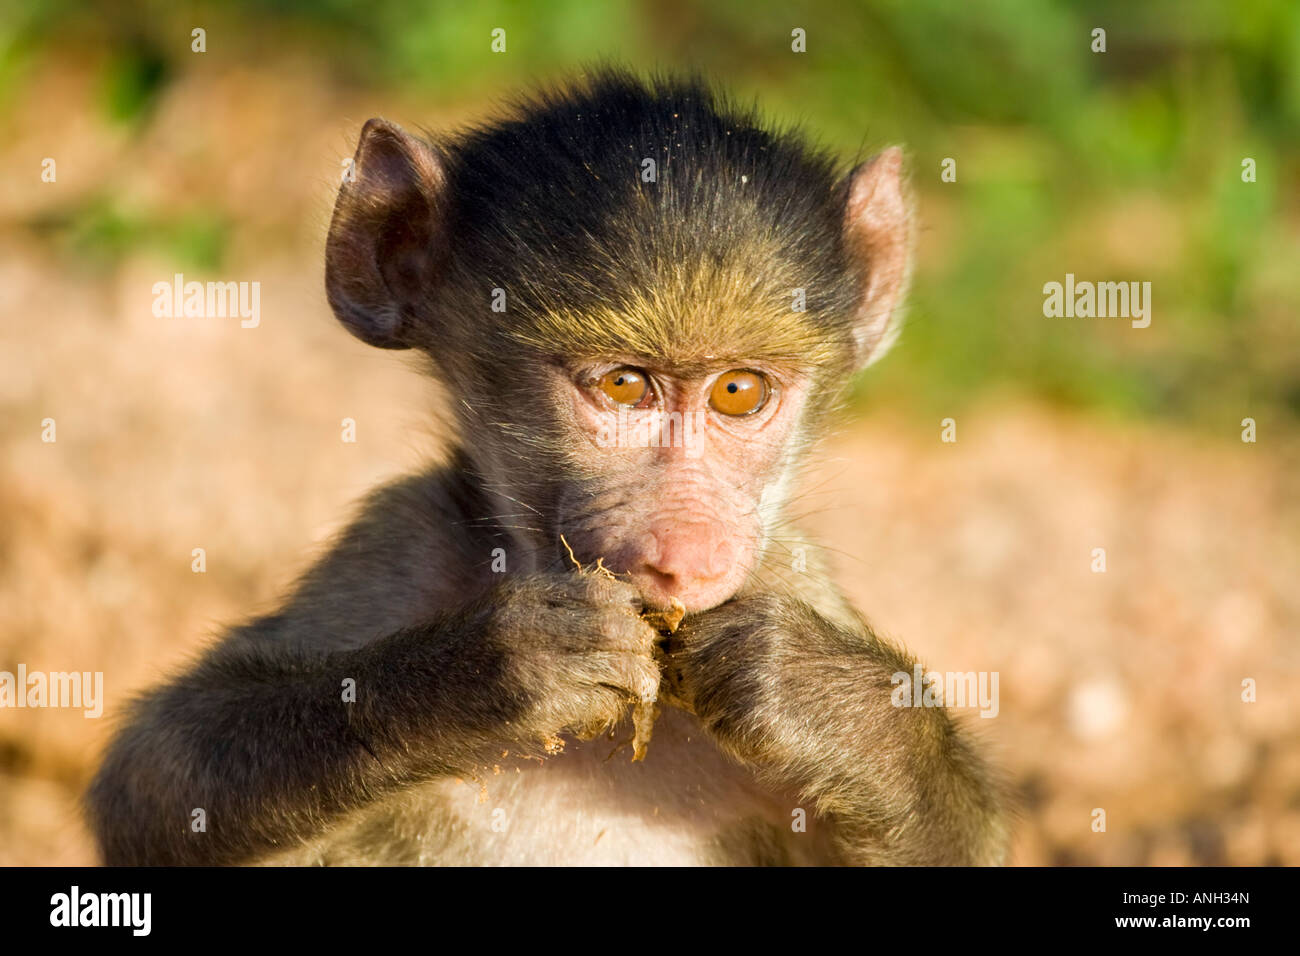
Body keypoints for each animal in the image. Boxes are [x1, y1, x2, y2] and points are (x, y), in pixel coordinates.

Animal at [86, 69, 1008, 866]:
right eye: (624, 385)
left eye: (740, 392)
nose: (687, 557)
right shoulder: (403, 535)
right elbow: (152, 776)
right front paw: (502, 666)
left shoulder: (791, 571)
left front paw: (816, 697)